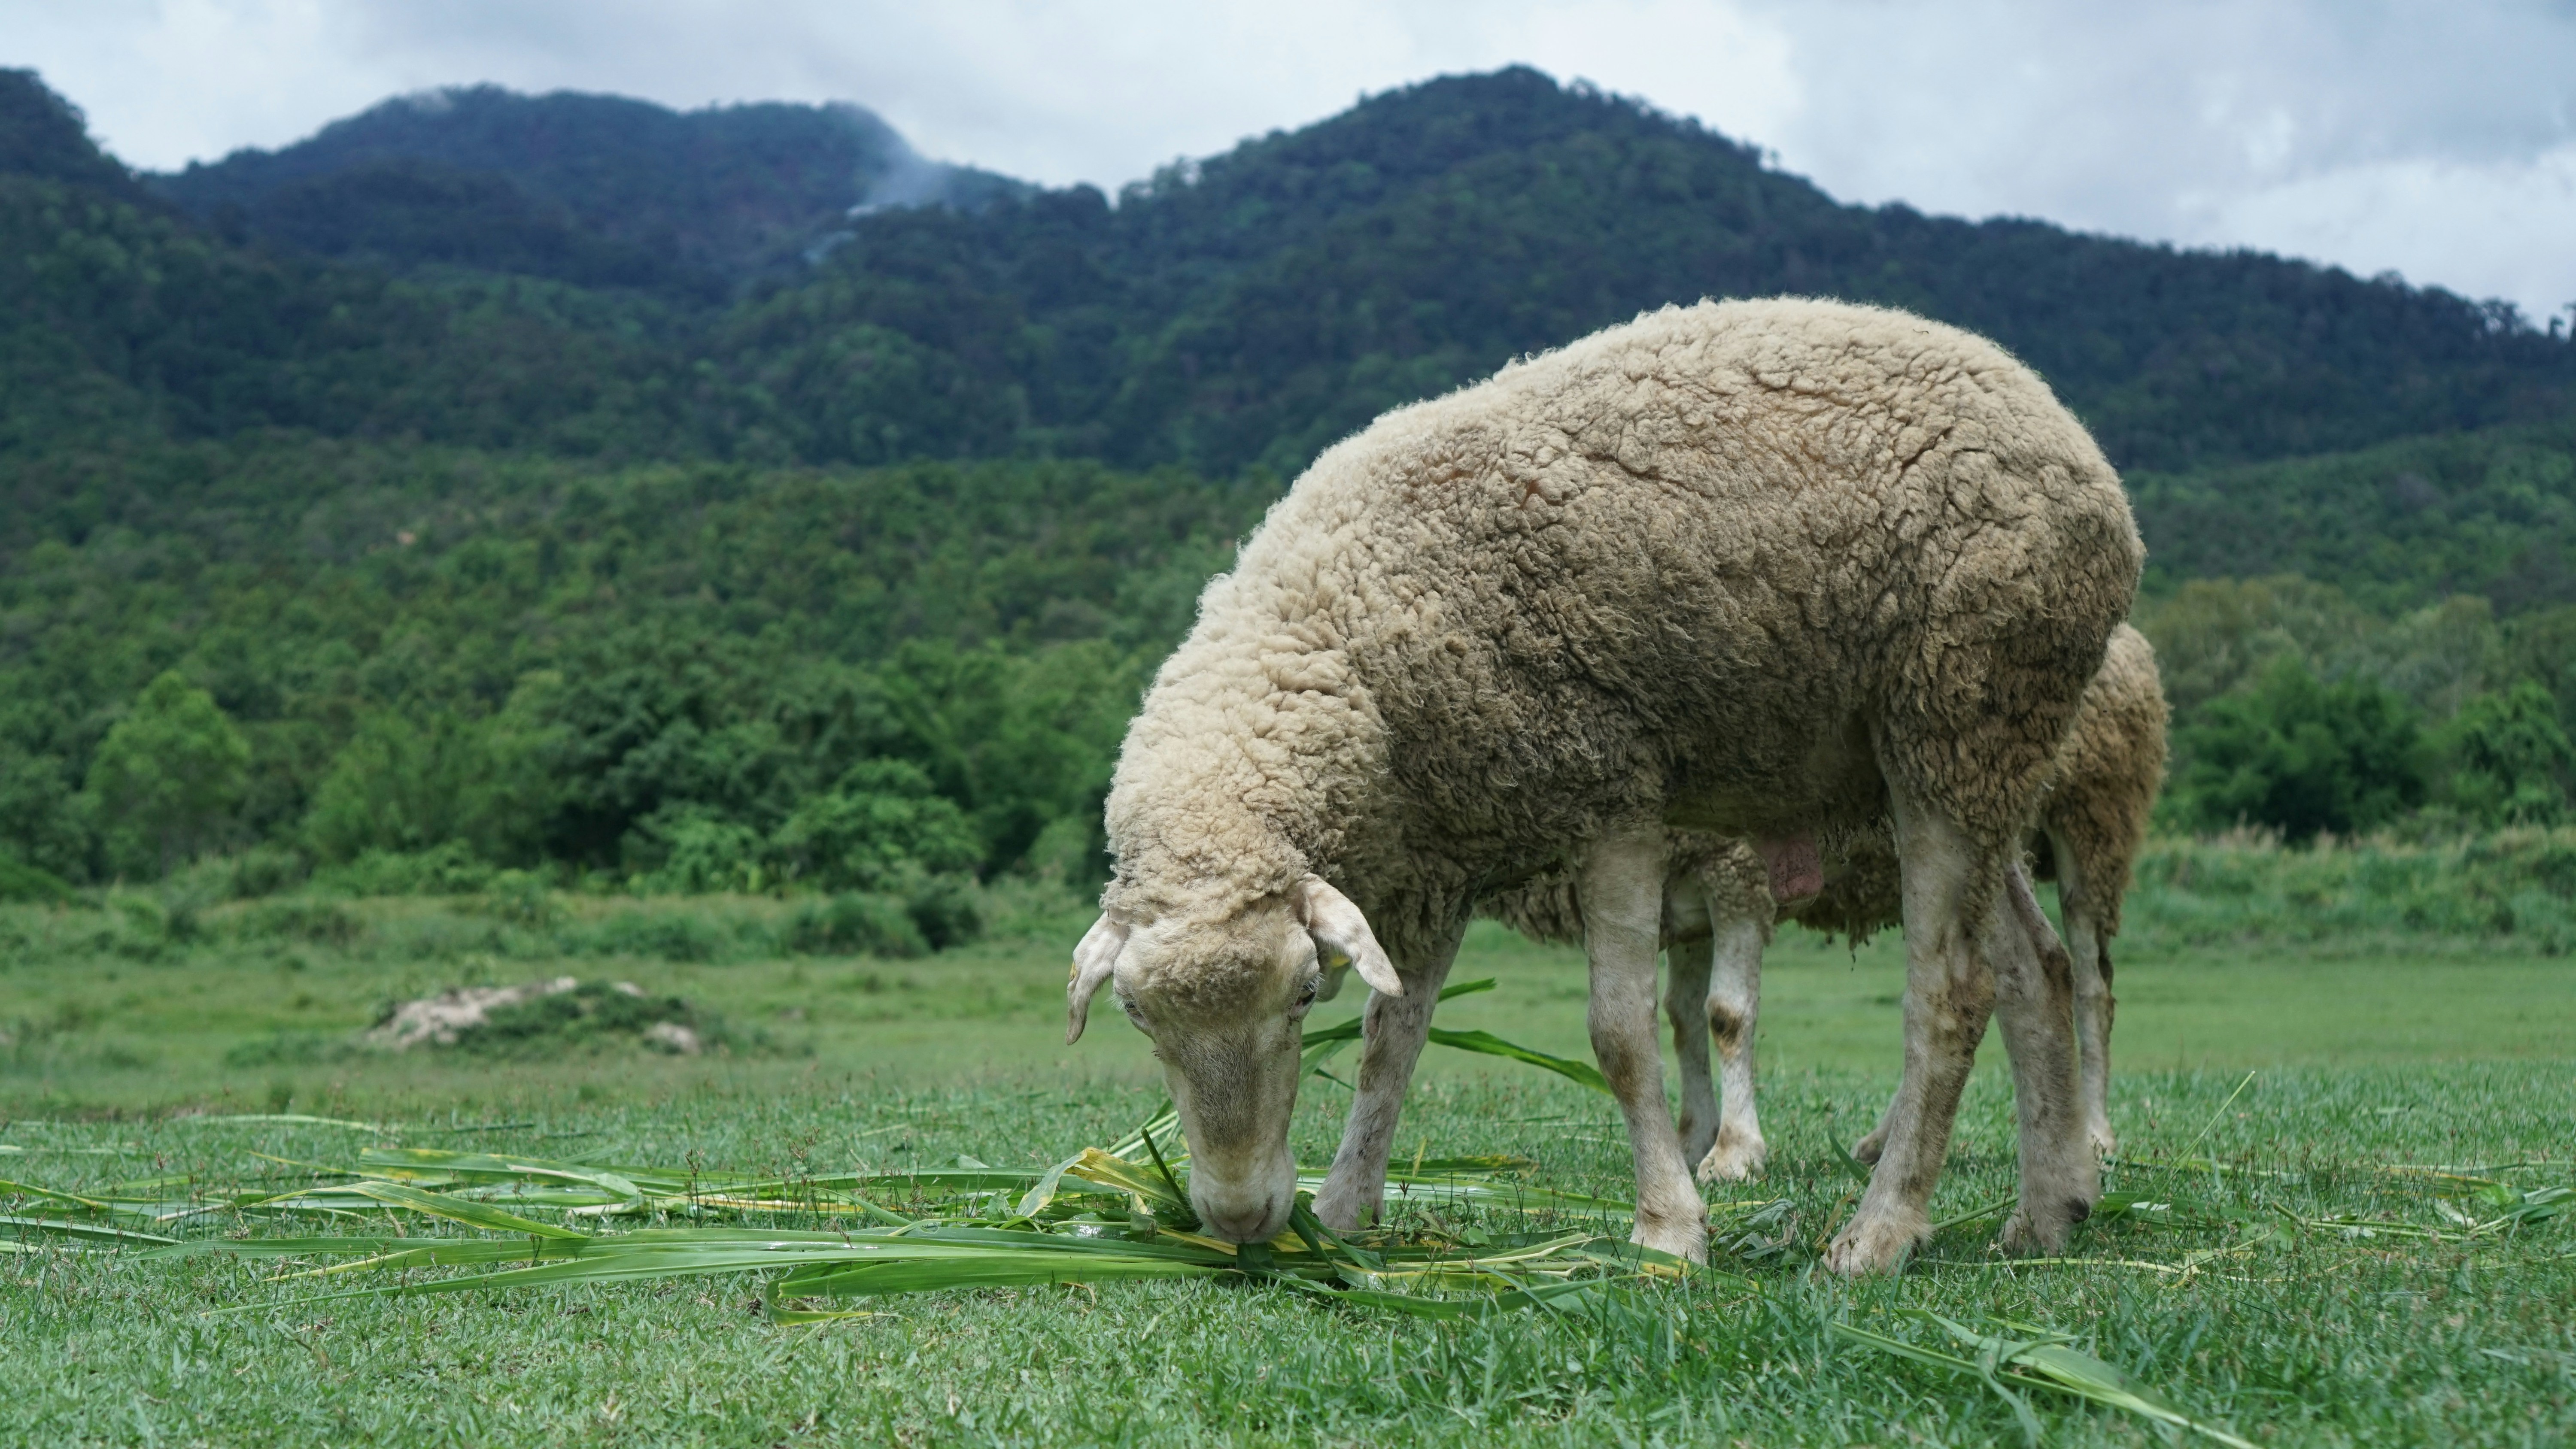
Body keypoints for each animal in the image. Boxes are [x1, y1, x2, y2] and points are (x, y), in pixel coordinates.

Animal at [1482, 624, 2169, 1181]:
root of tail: (2135, 640)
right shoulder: (1691, 899)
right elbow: (1681, 1020)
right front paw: (1694, 1137)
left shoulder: (1739, 874)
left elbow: (1726, 1015)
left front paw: (1736, 1151)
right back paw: (1885, 1140)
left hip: (2097, 824)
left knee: (2094, 987)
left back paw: (2097, 1133)